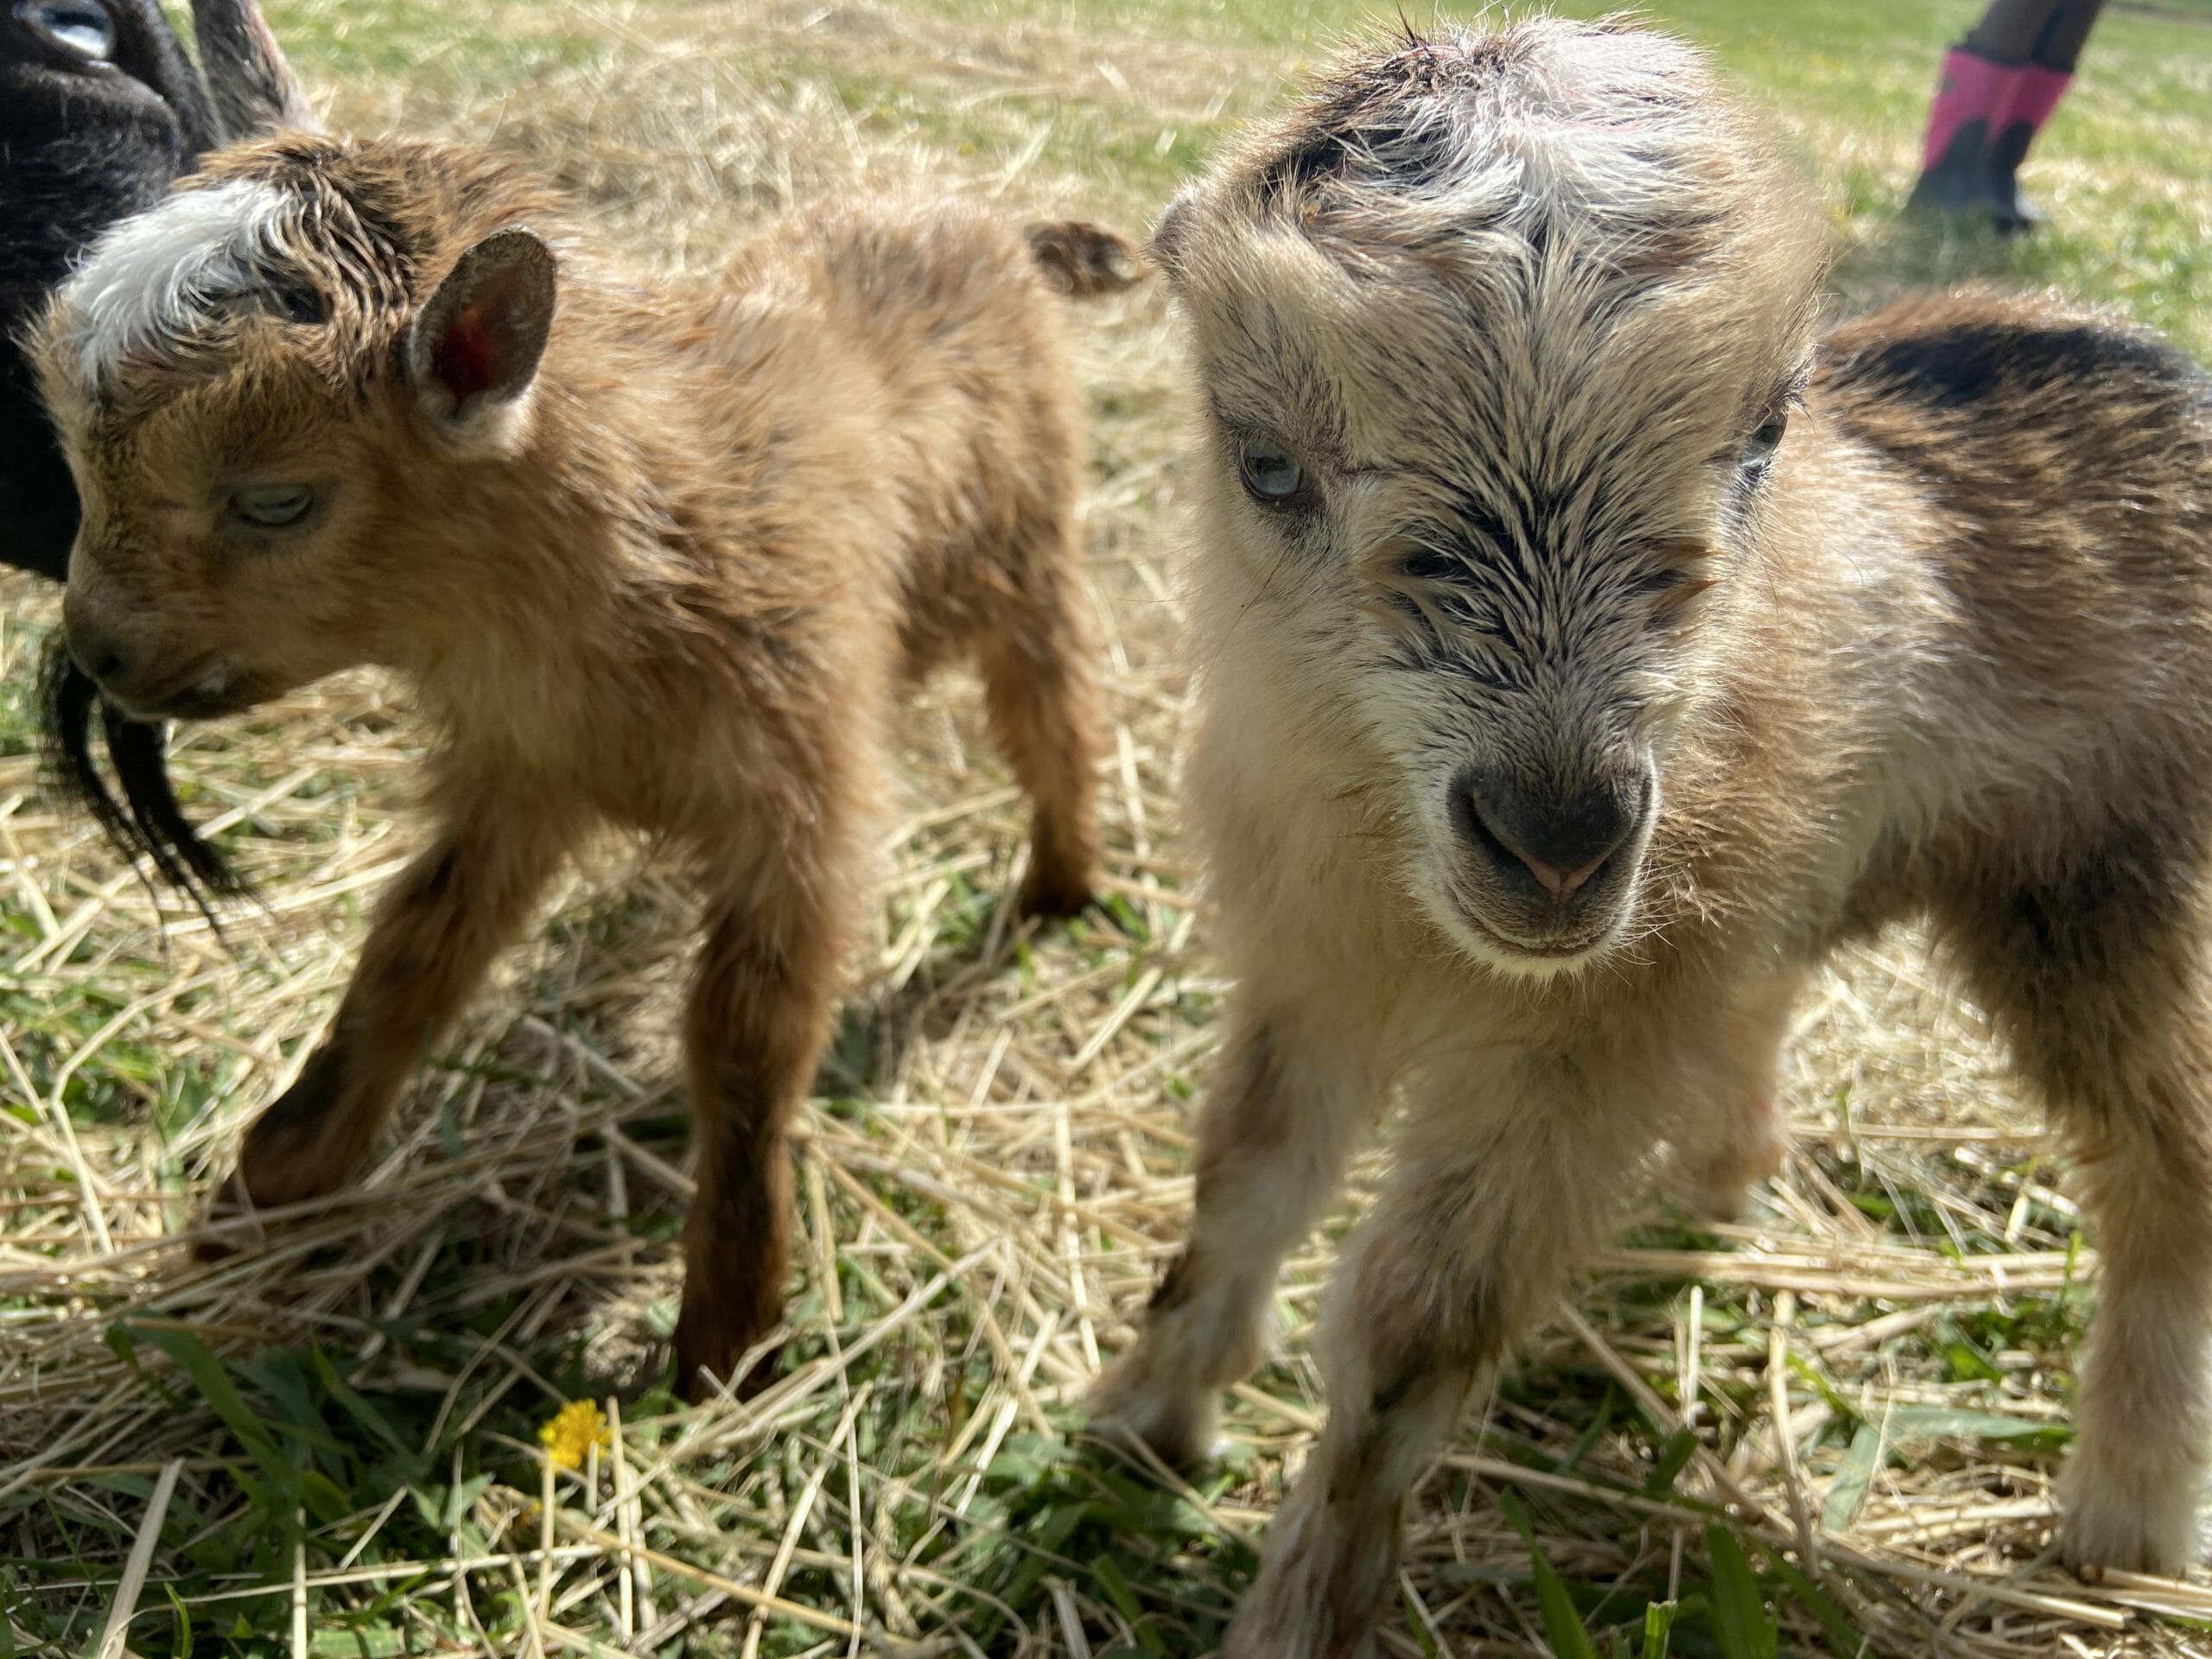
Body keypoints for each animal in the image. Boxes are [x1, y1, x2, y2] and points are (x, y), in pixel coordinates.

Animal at [35, 132, 1134, 1390]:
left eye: (276, 499)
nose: (97, 653)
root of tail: (991, 221)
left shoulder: (804, 796)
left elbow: (745, 1041)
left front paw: (725, 1331)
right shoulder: (519, 777)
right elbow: (412, 959)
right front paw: (267, 1189)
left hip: (1028, 539)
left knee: (1051, 707)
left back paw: (1063, 882)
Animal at [1090, 18, 2212, 1653]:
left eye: (1765, 433)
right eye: (1265, 461)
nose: (1556, 839)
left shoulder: (1577, 1052)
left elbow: (1412, 1330)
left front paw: (1301, 1609)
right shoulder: (1313, 965)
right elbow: (1240, 1178)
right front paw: (1143, 1421)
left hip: (2095, 882)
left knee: (2167, 1154)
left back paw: (2123, 1521)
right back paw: (1724, 1180)